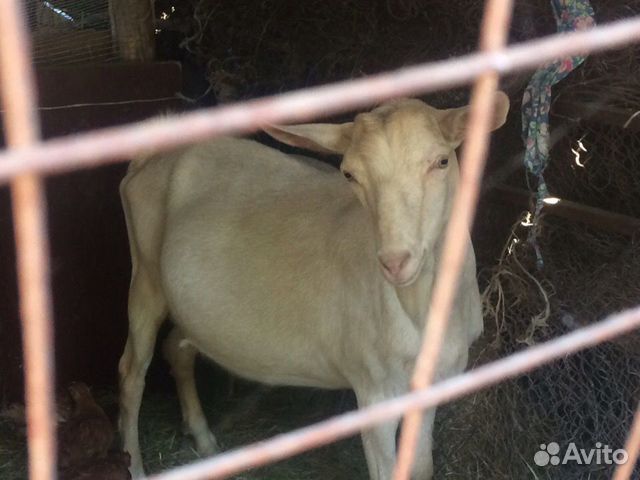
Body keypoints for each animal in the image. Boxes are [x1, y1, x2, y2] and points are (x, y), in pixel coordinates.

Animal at [118, 93, 510, 479]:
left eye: (441, 161)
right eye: (350, 174)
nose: (395, 261)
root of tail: (154, 149)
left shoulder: (429, 387)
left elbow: (421, 467)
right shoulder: (376, 388)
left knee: (178, 349)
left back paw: (203, 439)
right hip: (145, 276)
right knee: (132, 371)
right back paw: (134, 465)